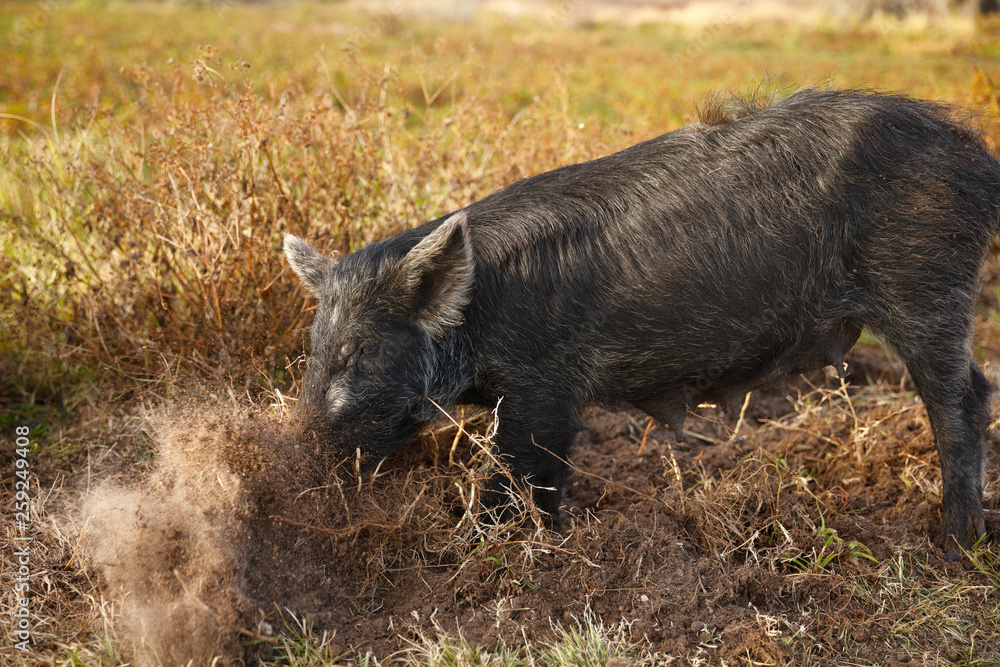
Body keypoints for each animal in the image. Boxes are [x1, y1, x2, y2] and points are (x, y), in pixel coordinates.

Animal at [285, 88, 1000, 556]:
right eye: (315, 344)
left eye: (361, 351)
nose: (300, 453)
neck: (479, 315)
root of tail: (978, 159)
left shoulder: (545, 385)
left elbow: (519, 472)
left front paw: (493, 549)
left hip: (924, 282)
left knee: (962, 398)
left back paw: (951, 546)